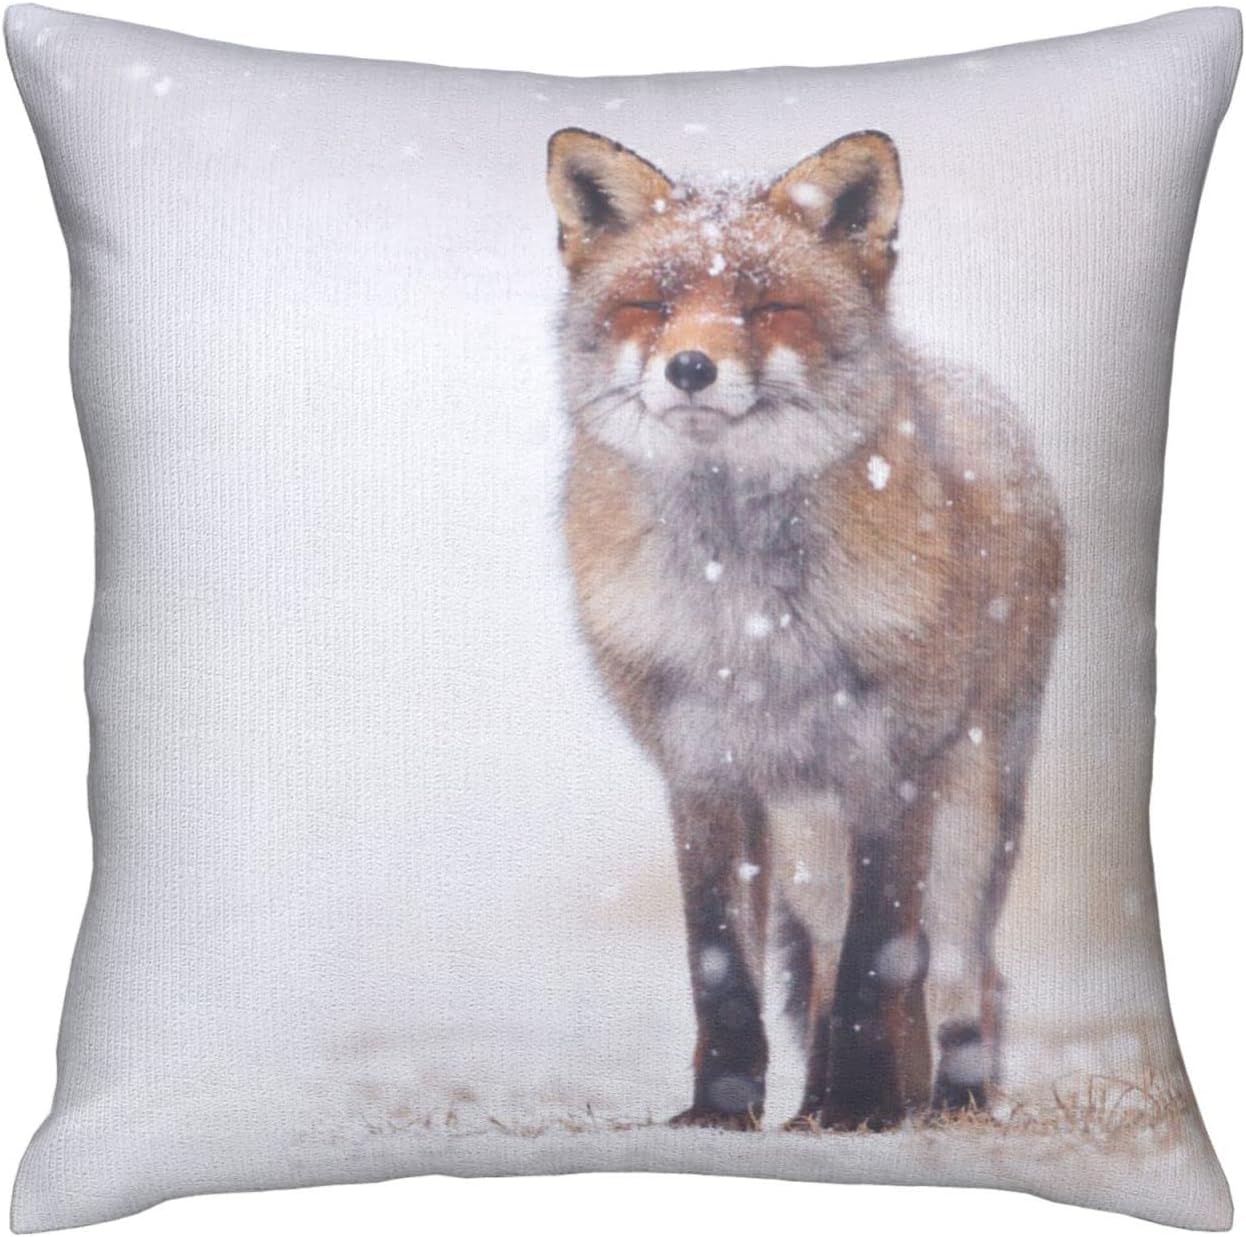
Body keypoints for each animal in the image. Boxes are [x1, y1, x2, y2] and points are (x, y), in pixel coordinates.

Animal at [547, 127, 1065, 1132]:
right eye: (653, 305)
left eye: (766, 308)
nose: (691, 368)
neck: (744, 617)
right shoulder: (704, 775)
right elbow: (723, 970)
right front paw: (723, 1111)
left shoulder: (890, 769)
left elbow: (879, 960)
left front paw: (864, 1109)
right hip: (806, 836)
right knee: (824, 956)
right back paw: (817, 1103)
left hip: (971, 807)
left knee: (960, 968)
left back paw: (945, 1099)